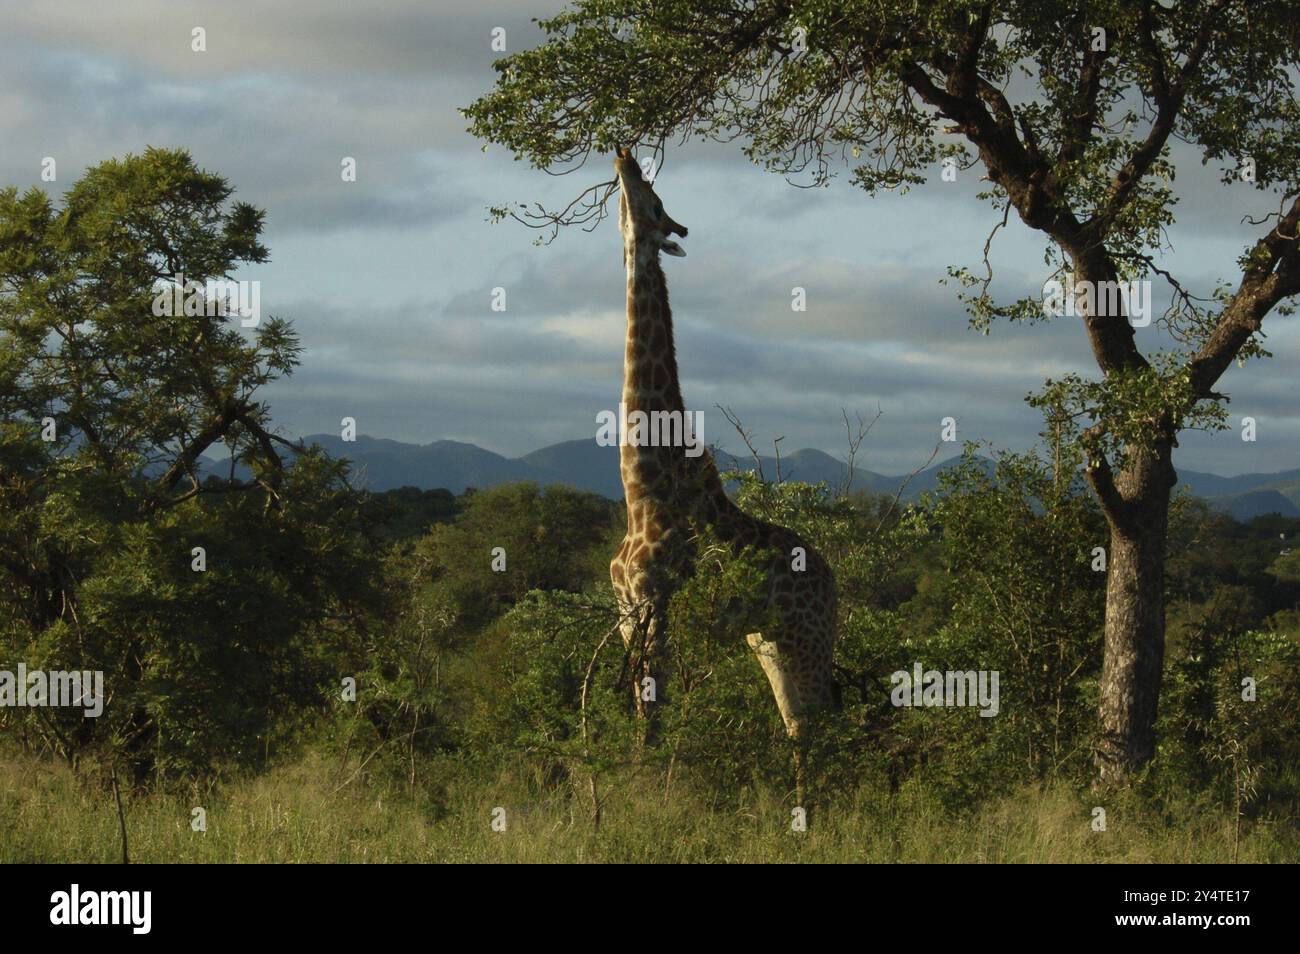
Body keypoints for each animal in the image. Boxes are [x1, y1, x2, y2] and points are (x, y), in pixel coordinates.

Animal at [607, 146, 840, 793]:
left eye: (655, 199)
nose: (626, 154)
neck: (642, 486)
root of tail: (835, 580)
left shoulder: (661, 608)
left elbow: (652, 720)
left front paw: (643, 799)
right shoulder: (628, 614)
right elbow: (641, 715)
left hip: (807, 636)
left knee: (821, 722)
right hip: (769, 639)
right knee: (799, 724)